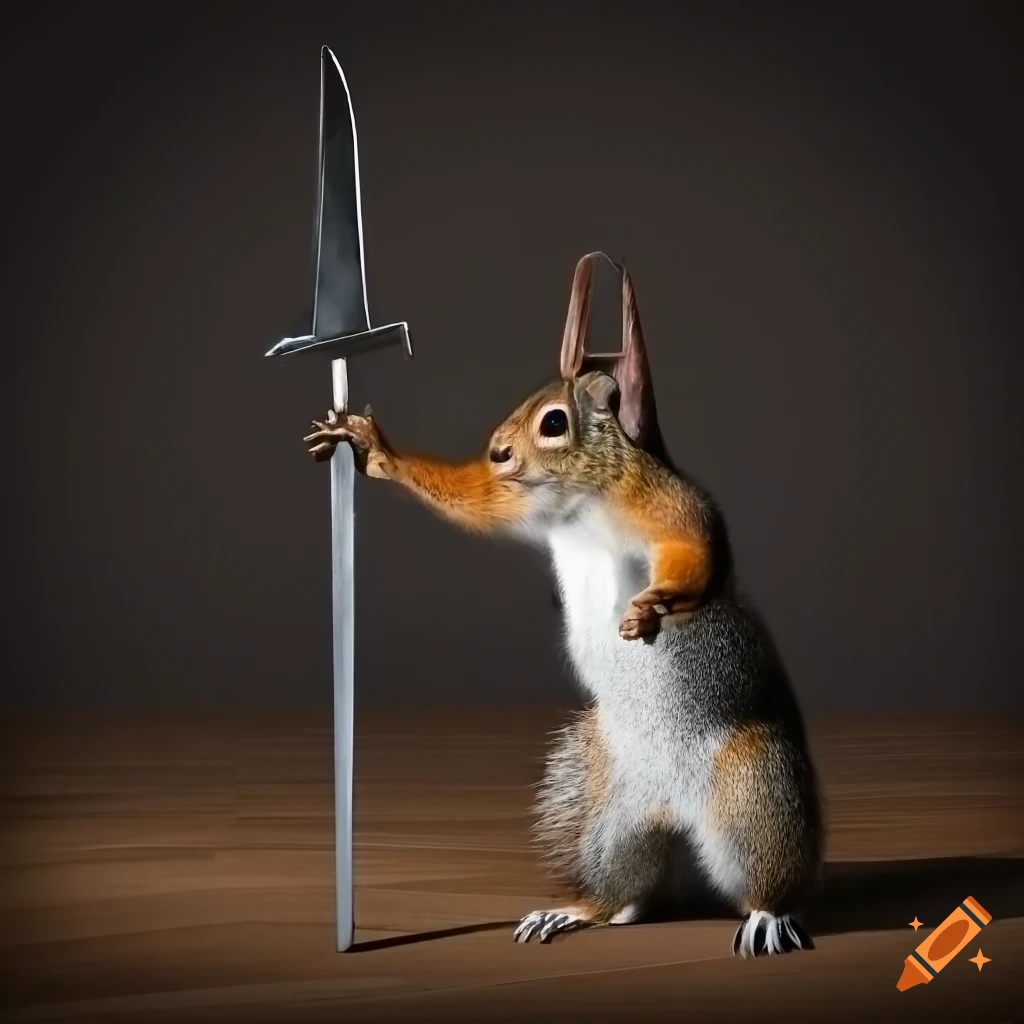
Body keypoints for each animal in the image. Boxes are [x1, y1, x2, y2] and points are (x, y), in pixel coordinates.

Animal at [303, 253, 822, 958]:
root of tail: (676, 813)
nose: (498, 452)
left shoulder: (666, 501)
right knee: (625, 896)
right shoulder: (527, 505)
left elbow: (693, 546)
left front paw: (653, 605)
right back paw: (577, 911)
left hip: (754, 794)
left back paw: (768, 914)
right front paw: (374, 450)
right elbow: (478, 503)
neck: (582, 497)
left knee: (766, 871)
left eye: (553, 422)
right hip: (613, 820)